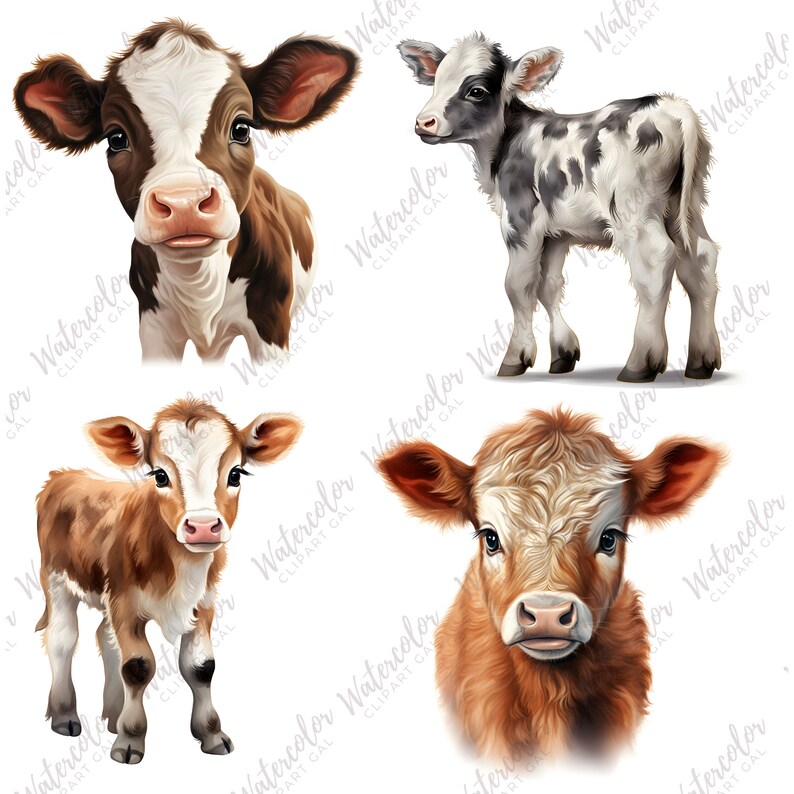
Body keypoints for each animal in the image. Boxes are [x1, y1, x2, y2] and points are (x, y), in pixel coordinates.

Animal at [14, 20, 359, 363]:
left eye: (241, 128)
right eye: (116, 137)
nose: (184, 203)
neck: (199, 287)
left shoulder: (271, 327)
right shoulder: (153, 327)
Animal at [35, 398, 302, 763]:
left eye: (235, 473)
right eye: (160, 476)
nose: (202, 527)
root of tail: (65, 474)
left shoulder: (203, 604)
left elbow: (202, 667)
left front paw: (211, 733)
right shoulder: (125, 603)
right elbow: (137, 666)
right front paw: (131, 739)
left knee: (105, 638)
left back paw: (113, 716)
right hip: (56, 580)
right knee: (62, 639)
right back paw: (65, 716)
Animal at [398, 34, 720, 382]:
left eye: (477, 91)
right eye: (436, 83)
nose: (424, 122)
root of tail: (671, 105)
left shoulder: (520, 220)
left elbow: (518, 285)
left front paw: (515, 358)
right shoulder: (557, 234)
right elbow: (548, 286)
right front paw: (563, 354)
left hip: (634, 210)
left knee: (656, 263)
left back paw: (640, 364)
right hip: (687, 205)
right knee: (701, 260)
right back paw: (701, 361)